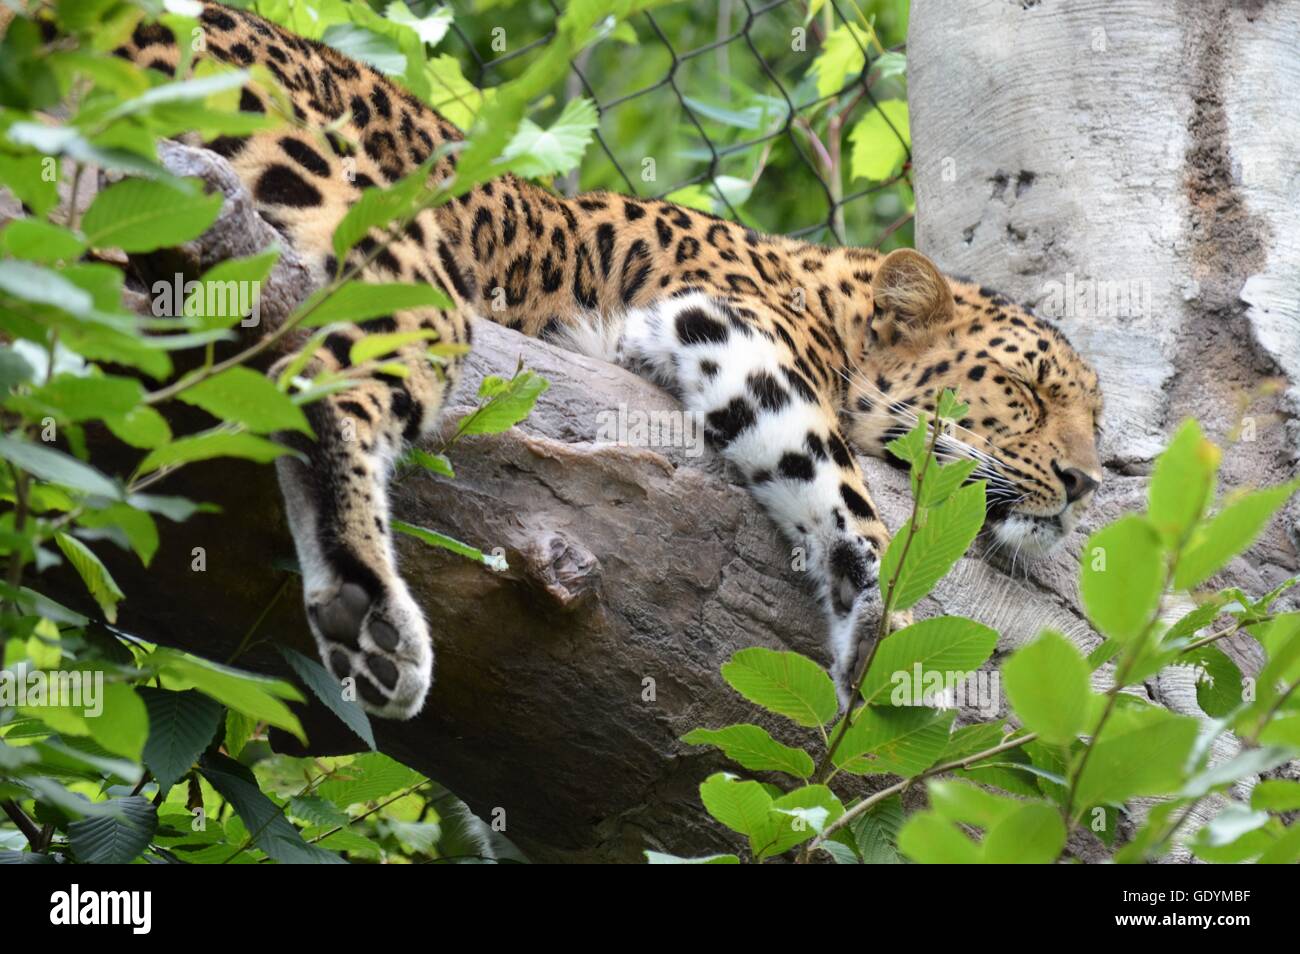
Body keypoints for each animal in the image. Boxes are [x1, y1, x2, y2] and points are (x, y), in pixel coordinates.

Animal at [12, 2, 1104, 719]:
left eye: (1094, 417)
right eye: (1026, 390)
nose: (1089, 482)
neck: (820, 294)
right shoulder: (721, 318)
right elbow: (835, 477)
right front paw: (883, 613)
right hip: (379, 248)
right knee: (331, 384)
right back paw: (372, 603)